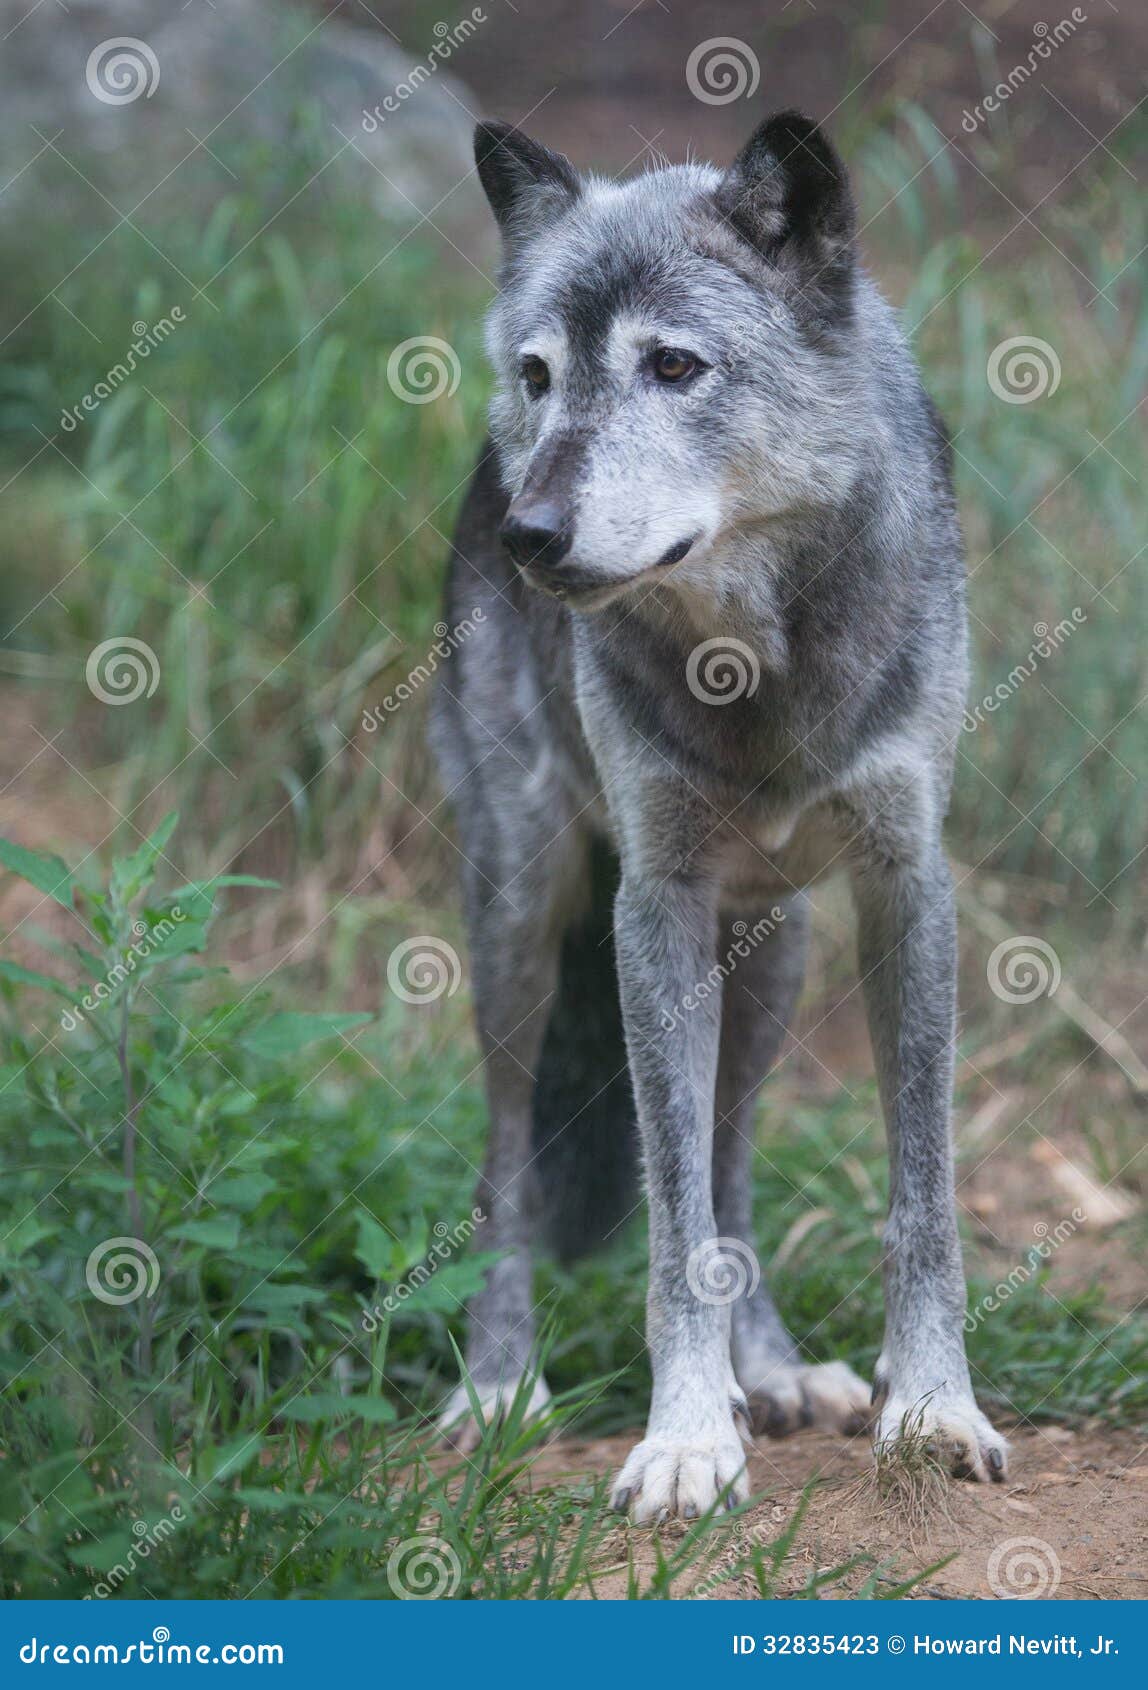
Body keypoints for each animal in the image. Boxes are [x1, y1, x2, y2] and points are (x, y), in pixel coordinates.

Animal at [429, 109, 1008, 1522]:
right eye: (540, 374)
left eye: (673, 366)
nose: (530, 532)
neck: (754, 663)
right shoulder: (655, 908)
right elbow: (668, 1212)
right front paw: (688, 1439)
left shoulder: (907, 886)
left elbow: (917, 1193)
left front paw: (930, 1408)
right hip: (523, 921)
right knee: (510, 1159)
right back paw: (500, 1384)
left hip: (775, 951)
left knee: (734, 1147)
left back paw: (778, 1369)